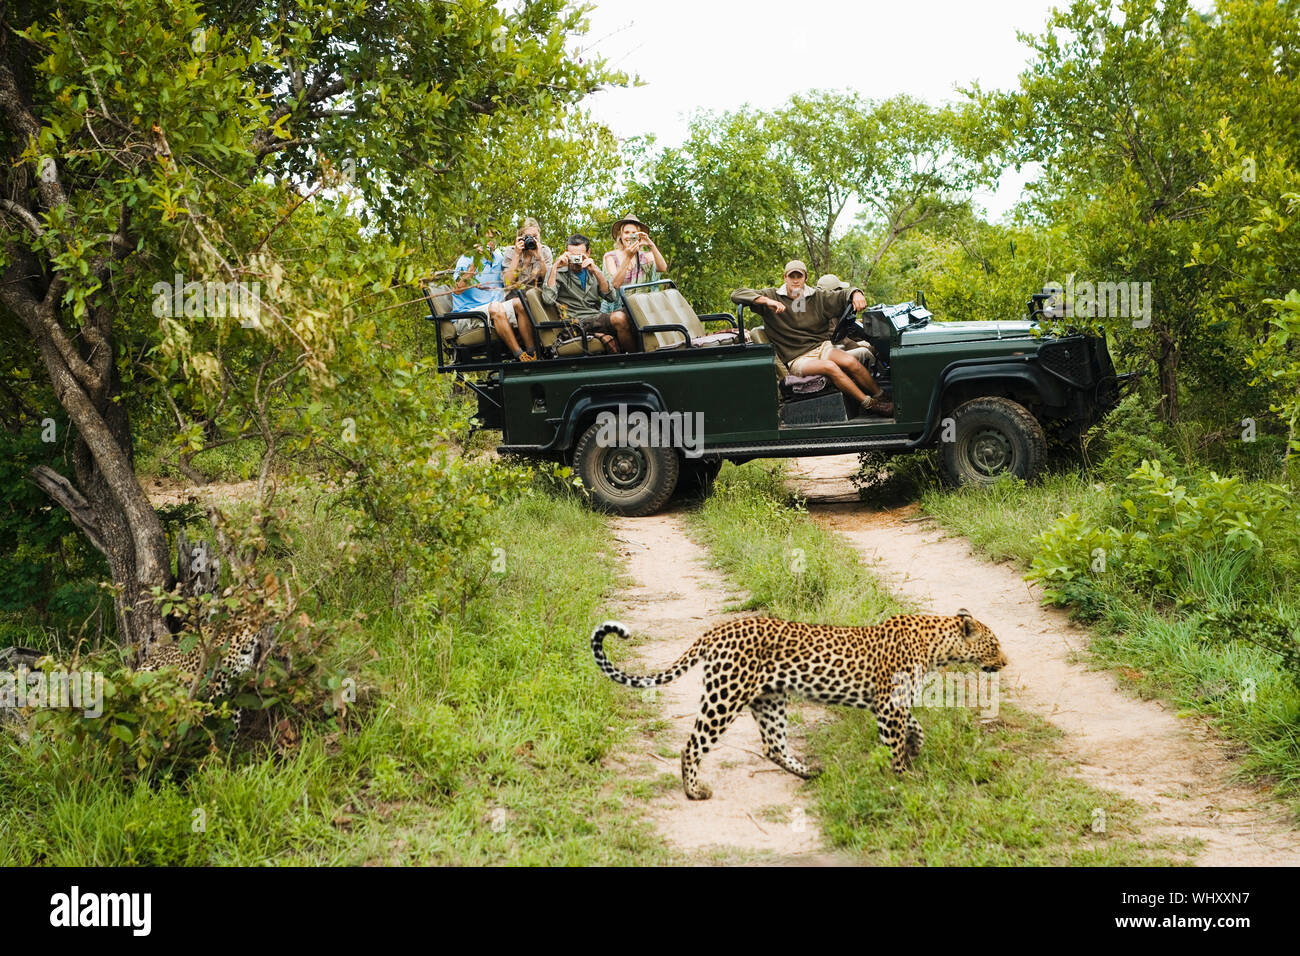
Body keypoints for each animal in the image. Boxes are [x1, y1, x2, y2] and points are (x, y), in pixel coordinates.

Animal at [591, 609, 1007, 800]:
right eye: (995, 644)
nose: (1005, 662)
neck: (937, 646)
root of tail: (715, 631)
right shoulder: (889, 705)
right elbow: (896, 743)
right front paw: (906, 776)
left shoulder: (889, 705)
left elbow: (914, 725)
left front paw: (916, 746)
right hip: (725, 696)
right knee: (692, 745)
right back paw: (695, 791)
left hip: (769, 699)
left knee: (773, 745)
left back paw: (809, 772)